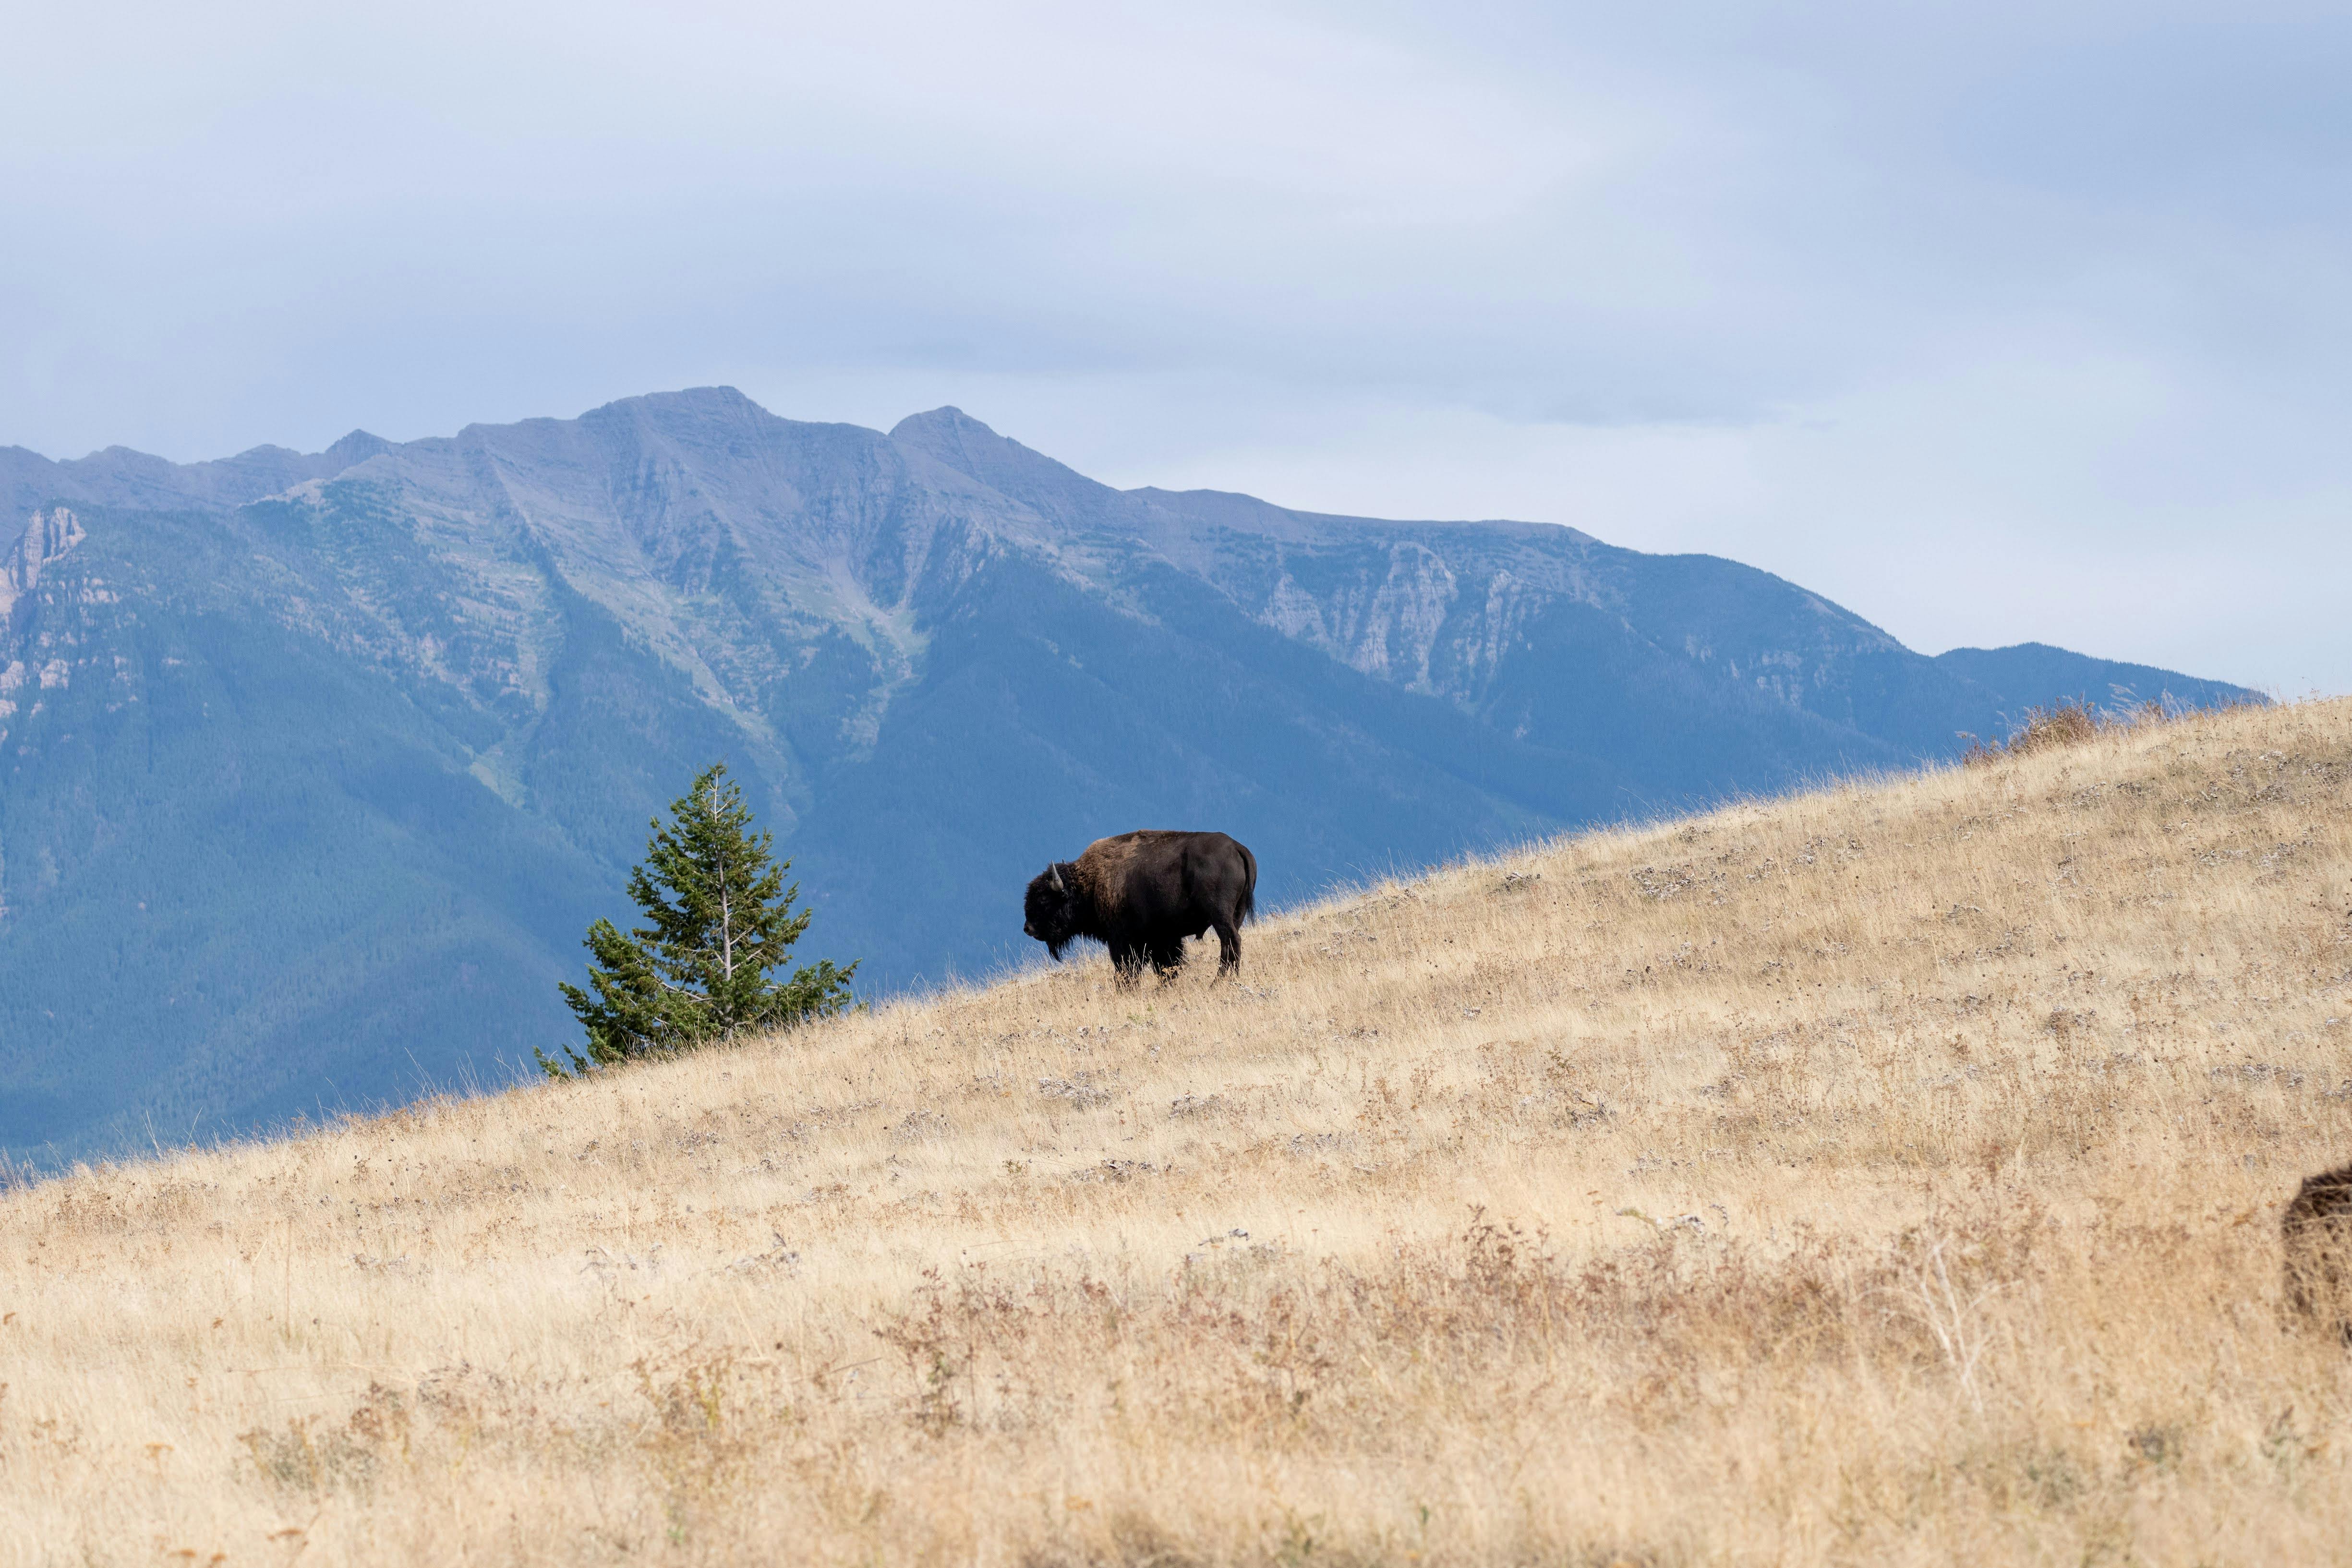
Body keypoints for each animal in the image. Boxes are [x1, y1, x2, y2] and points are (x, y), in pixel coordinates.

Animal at [1023, 830, 1258, 985]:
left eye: (1044, 900)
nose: (1028, 928)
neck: (1089, 883)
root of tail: (1237, 848)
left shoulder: (1124, 941)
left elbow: (1129, 968)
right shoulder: (1164, 939)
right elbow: (1167, 966)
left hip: (1220, 915)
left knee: (1231, 941)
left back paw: (1220, 982)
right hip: (1236, 914)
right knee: (1229, 944)